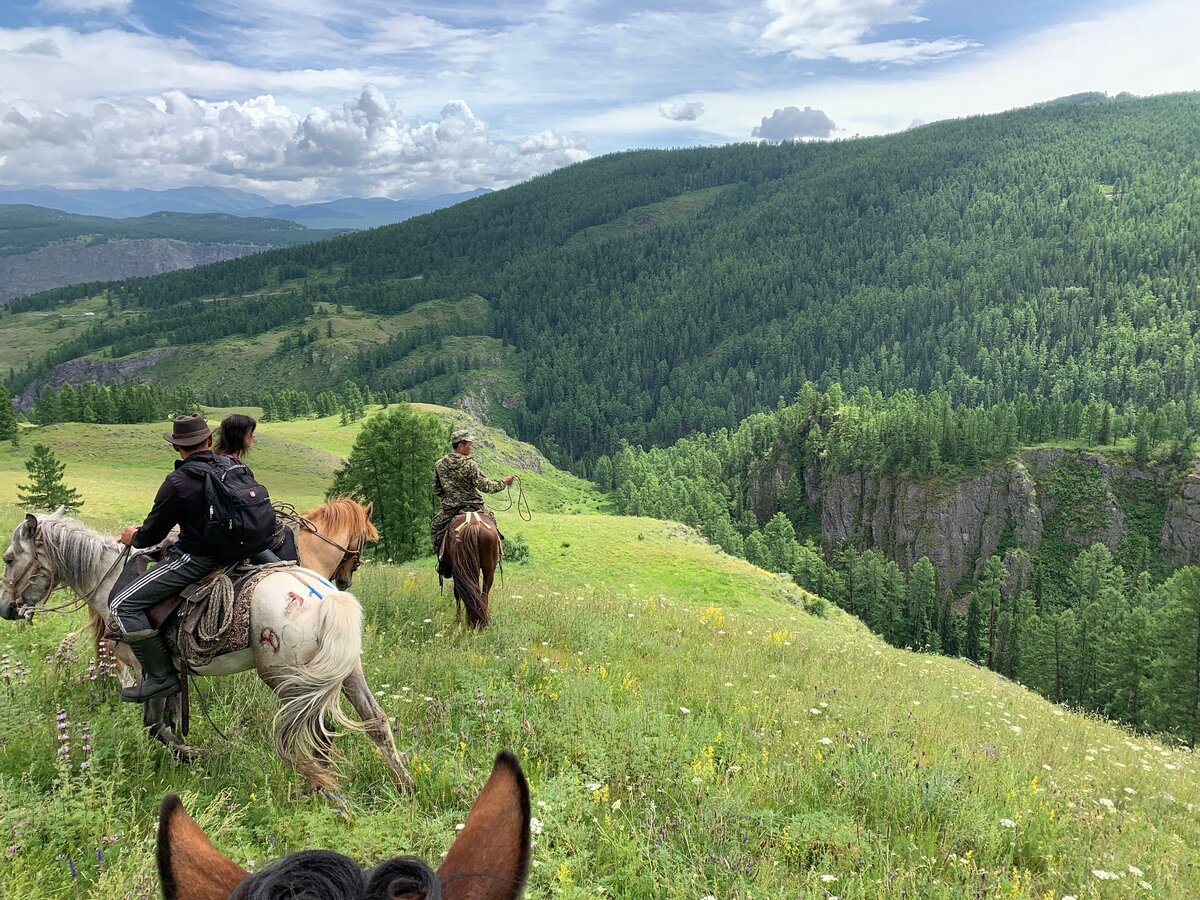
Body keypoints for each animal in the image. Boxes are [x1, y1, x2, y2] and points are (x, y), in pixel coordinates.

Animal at [1, 511, 412, 792]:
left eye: (8, 558)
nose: (7, 608)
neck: (111, 580)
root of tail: (326, 596)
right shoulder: (171, 672)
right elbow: (168, 721)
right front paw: (189, 758)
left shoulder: (148, 672)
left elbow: (154, 725)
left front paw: (199, 756)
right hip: (345, 672)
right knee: (374, 721)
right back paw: (401, 782)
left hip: (290, 681)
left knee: (313, 733)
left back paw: (323, 788)